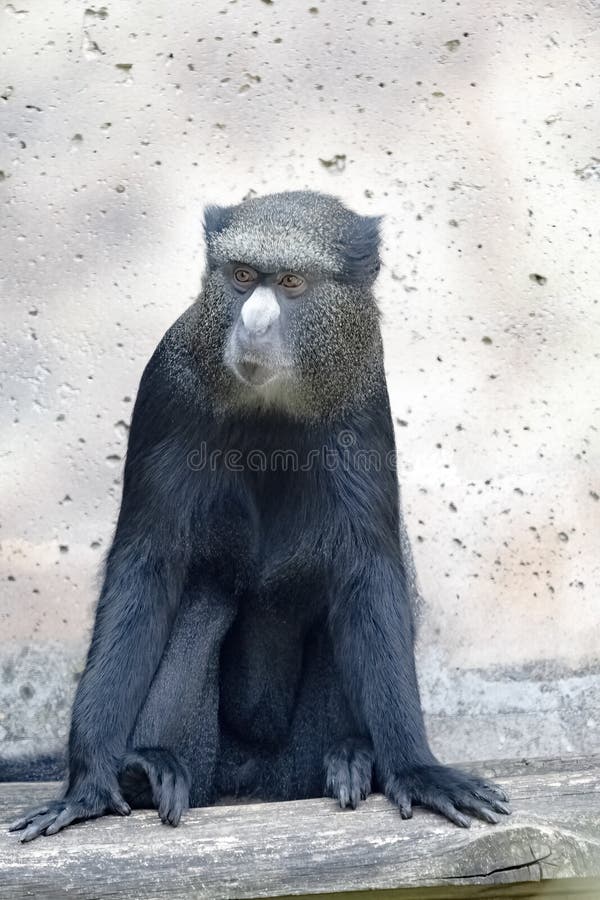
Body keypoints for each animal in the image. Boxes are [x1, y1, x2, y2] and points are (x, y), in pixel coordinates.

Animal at [8, 191, 510, 841]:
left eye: (292, 282)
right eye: (243, 277)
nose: (253, 323)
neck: (270, 409)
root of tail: (252, 776)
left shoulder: (363, 402)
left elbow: (368, 571)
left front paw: (417, 769)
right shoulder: (168, 388)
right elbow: (146, 562)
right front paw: (89, 782)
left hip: (296, 763)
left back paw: (355, 758)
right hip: (210, 758)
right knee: (203, 598)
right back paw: (145, 771)